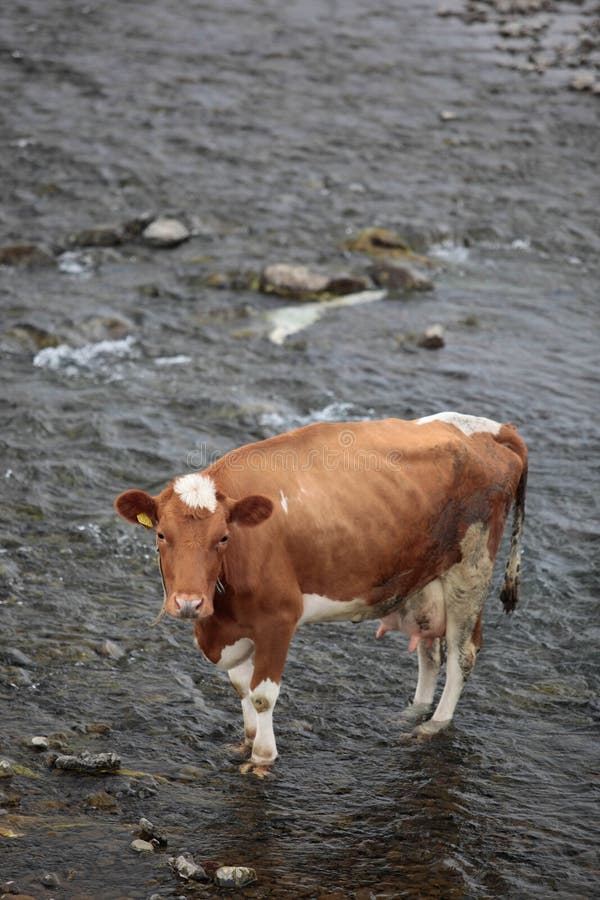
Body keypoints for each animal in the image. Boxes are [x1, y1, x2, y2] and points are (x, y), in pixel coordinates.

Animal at [115, 412, 527, 774]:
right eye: (161, 534)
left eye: (223, 538)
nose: (189, 603)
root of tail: (490, 428)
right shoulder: (234, 625)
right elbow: (240, 685)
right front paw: (246, 740)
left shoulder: (279, 618)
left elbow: (262, 694)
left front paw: (262, 756)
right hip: (425, 580)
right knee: (430, 652)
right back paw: (412, 712)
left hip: (471, 571)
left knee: (462, 656)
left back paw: (432, 725)